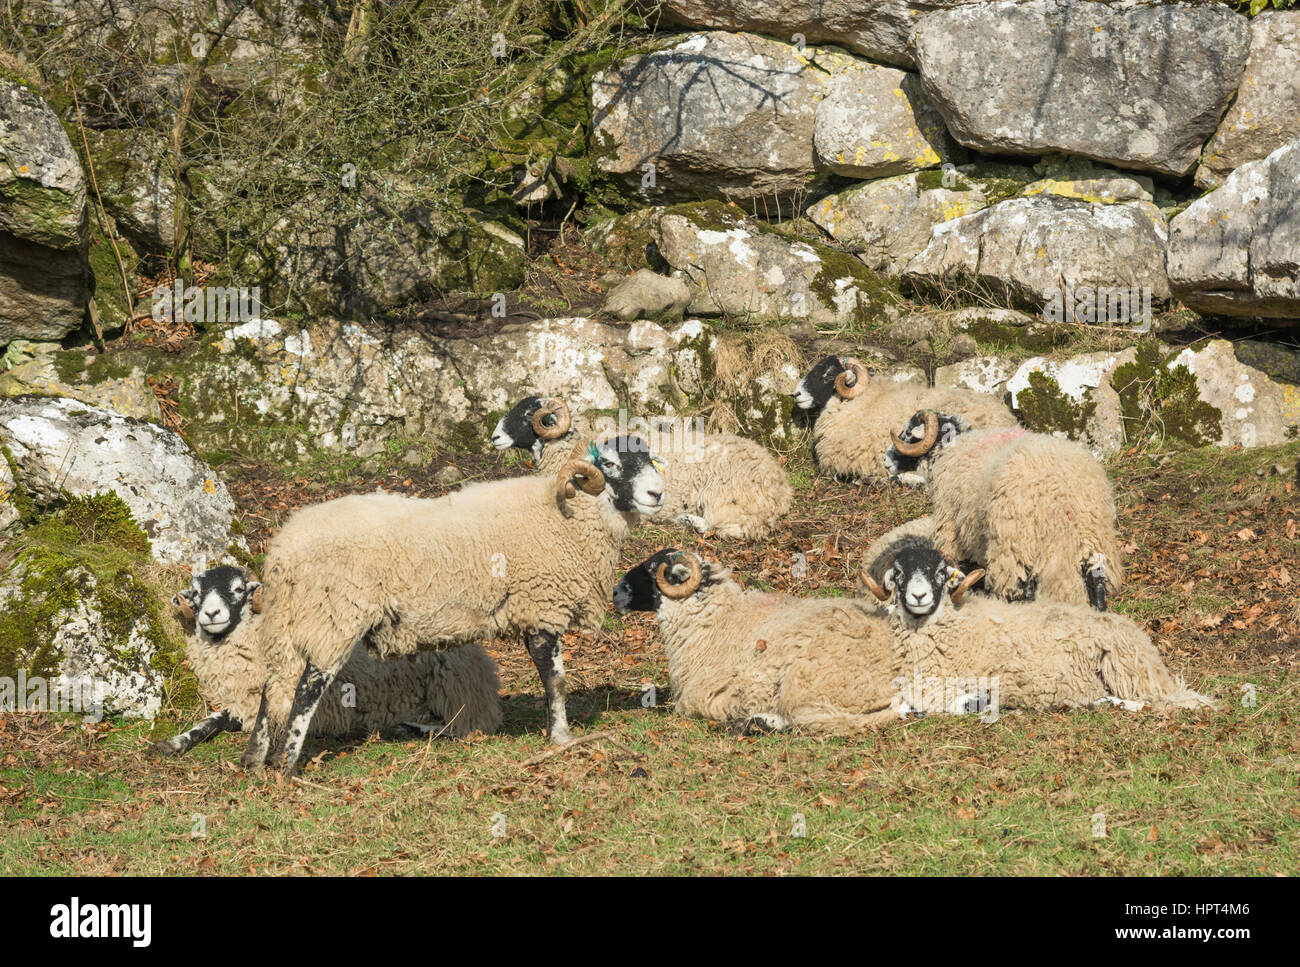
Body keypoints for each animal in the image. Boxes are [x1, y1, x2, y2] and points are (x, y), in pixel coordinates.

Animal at [151, 566, 502, 757]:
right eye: (196, 593)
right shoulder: (242, 703)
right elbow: (207, 723)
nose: (211, 614)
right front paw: (173, 742)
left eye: (239, 589)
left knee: (469, 726)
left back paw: (406, 728)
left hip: (454, 681)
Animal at [244, 431, 666, 774]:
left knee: (270, 685)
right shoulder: (542, 606)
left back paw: (254, 760)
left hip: (289, 620)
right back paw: (286, 765)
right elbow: (556, 680)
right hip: (332, 617)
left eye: (649, 459)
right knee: (306, 691)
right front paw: (561, 737)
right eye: (609, 463)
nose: (656, 495)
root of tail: (283, 551)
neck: (566, 514)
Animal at [493, 395, 793, 540]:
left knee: (735, 527)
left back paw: (690, 520)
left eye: (528, 414)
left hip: (725, 495)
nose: (494, 437)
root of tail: (781, 486)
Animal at [613, 549, 900, 734]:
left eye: (653, 570)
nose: (616, 592)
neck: (721, 620)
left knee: (812, 718)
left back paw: (754, 723)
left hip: (809, 678)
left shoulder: (709, 692)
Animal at [885, 409, 1121, 610]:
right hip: (1094, 540)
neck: (952, 448)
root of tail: (1067, 498)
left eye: (908, 433)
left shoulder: (950, 526)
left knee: (1022, 589)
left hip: (1015, 545)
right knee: (1097, 583)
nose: (886, 461)